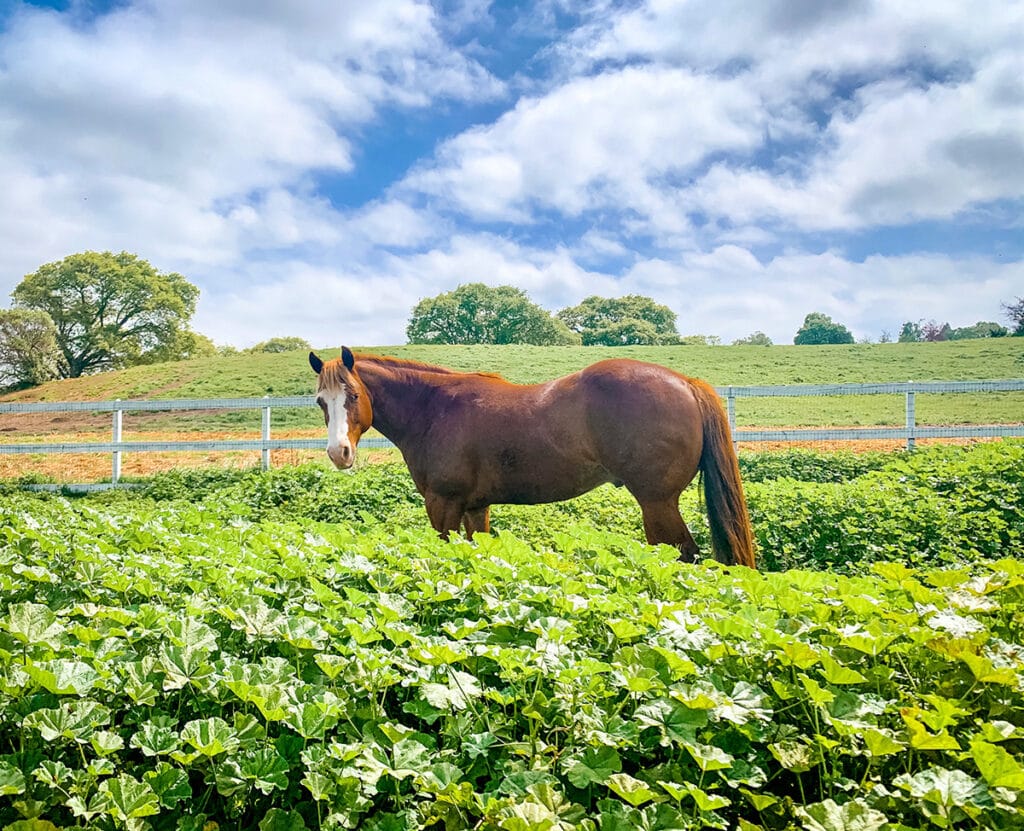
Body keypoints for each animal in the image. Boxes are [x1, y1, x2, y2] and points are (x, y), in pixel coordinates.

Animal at [309, 347, 756, 568]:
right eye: (320, 401)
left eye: (353, 395)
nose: (339, 453)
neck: (433, 408)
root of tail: (686, 383)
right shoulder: (475, 507)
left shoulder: (443, 505)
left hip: (657, 503)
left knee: (685, 557)